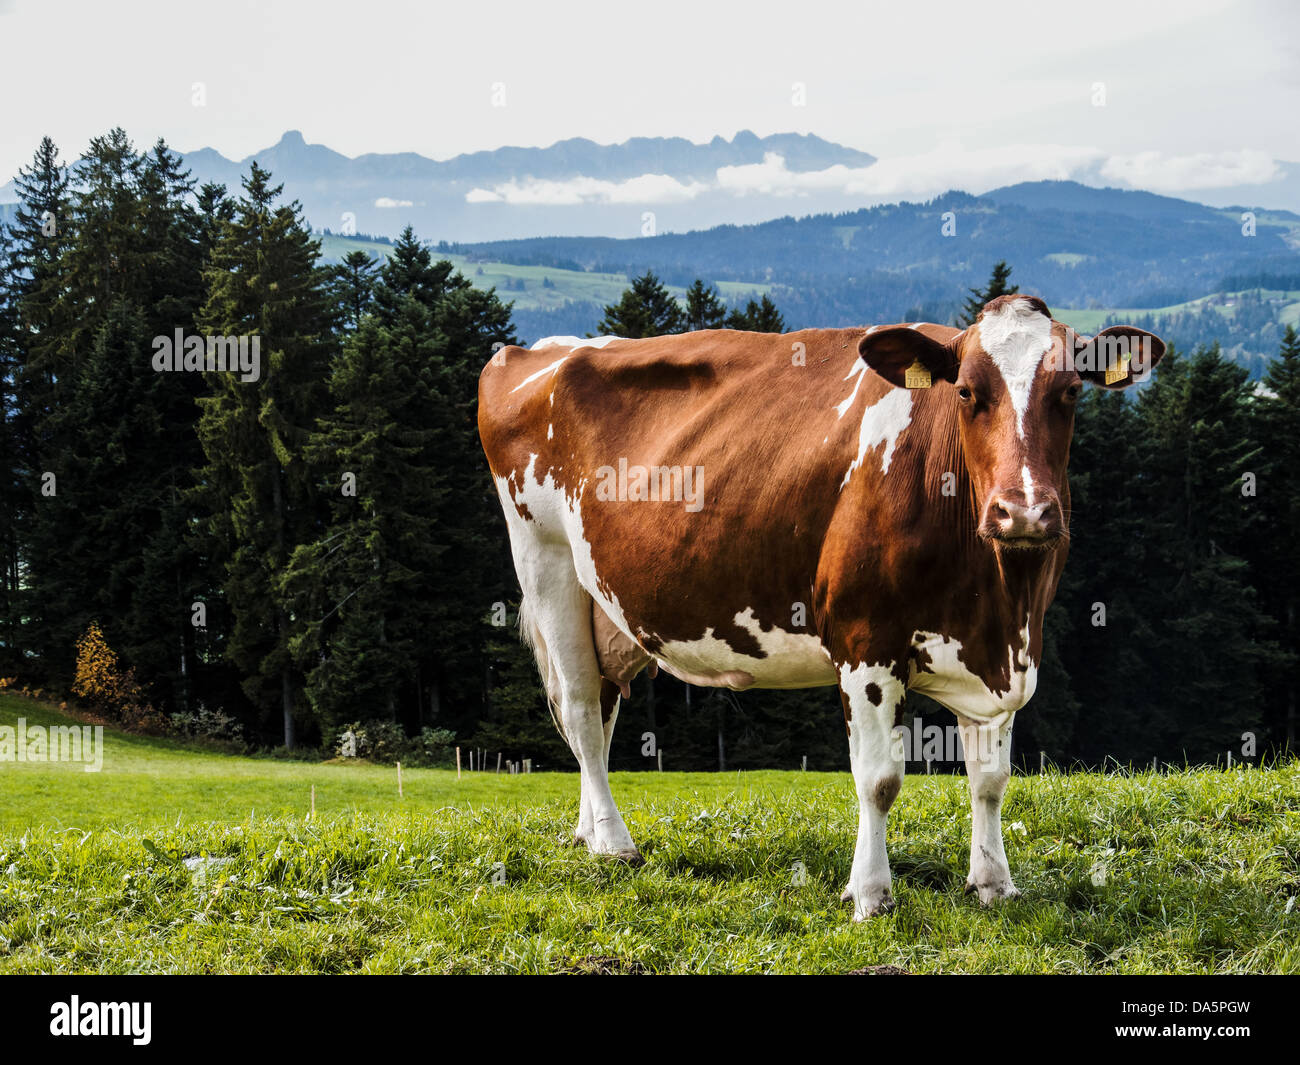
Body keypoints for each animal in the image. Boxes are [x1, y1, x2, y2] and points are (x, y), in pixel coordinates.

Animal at [477, 295, 1164, 919]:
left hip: (609, 613)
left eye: (1070, 391)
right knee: (581, 710)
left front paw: (993, 884)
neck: (998, 597)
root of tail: (539, 349)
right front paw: (870, 893)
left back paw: (588, 833)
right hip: (547, 564)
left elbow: (990, 780)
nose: (1023, 512)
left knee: (601, 708)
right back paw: (615, 846)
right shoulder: (866, 644)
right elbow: (879, 779)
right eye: (967, 392)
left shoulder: (1007, 651)